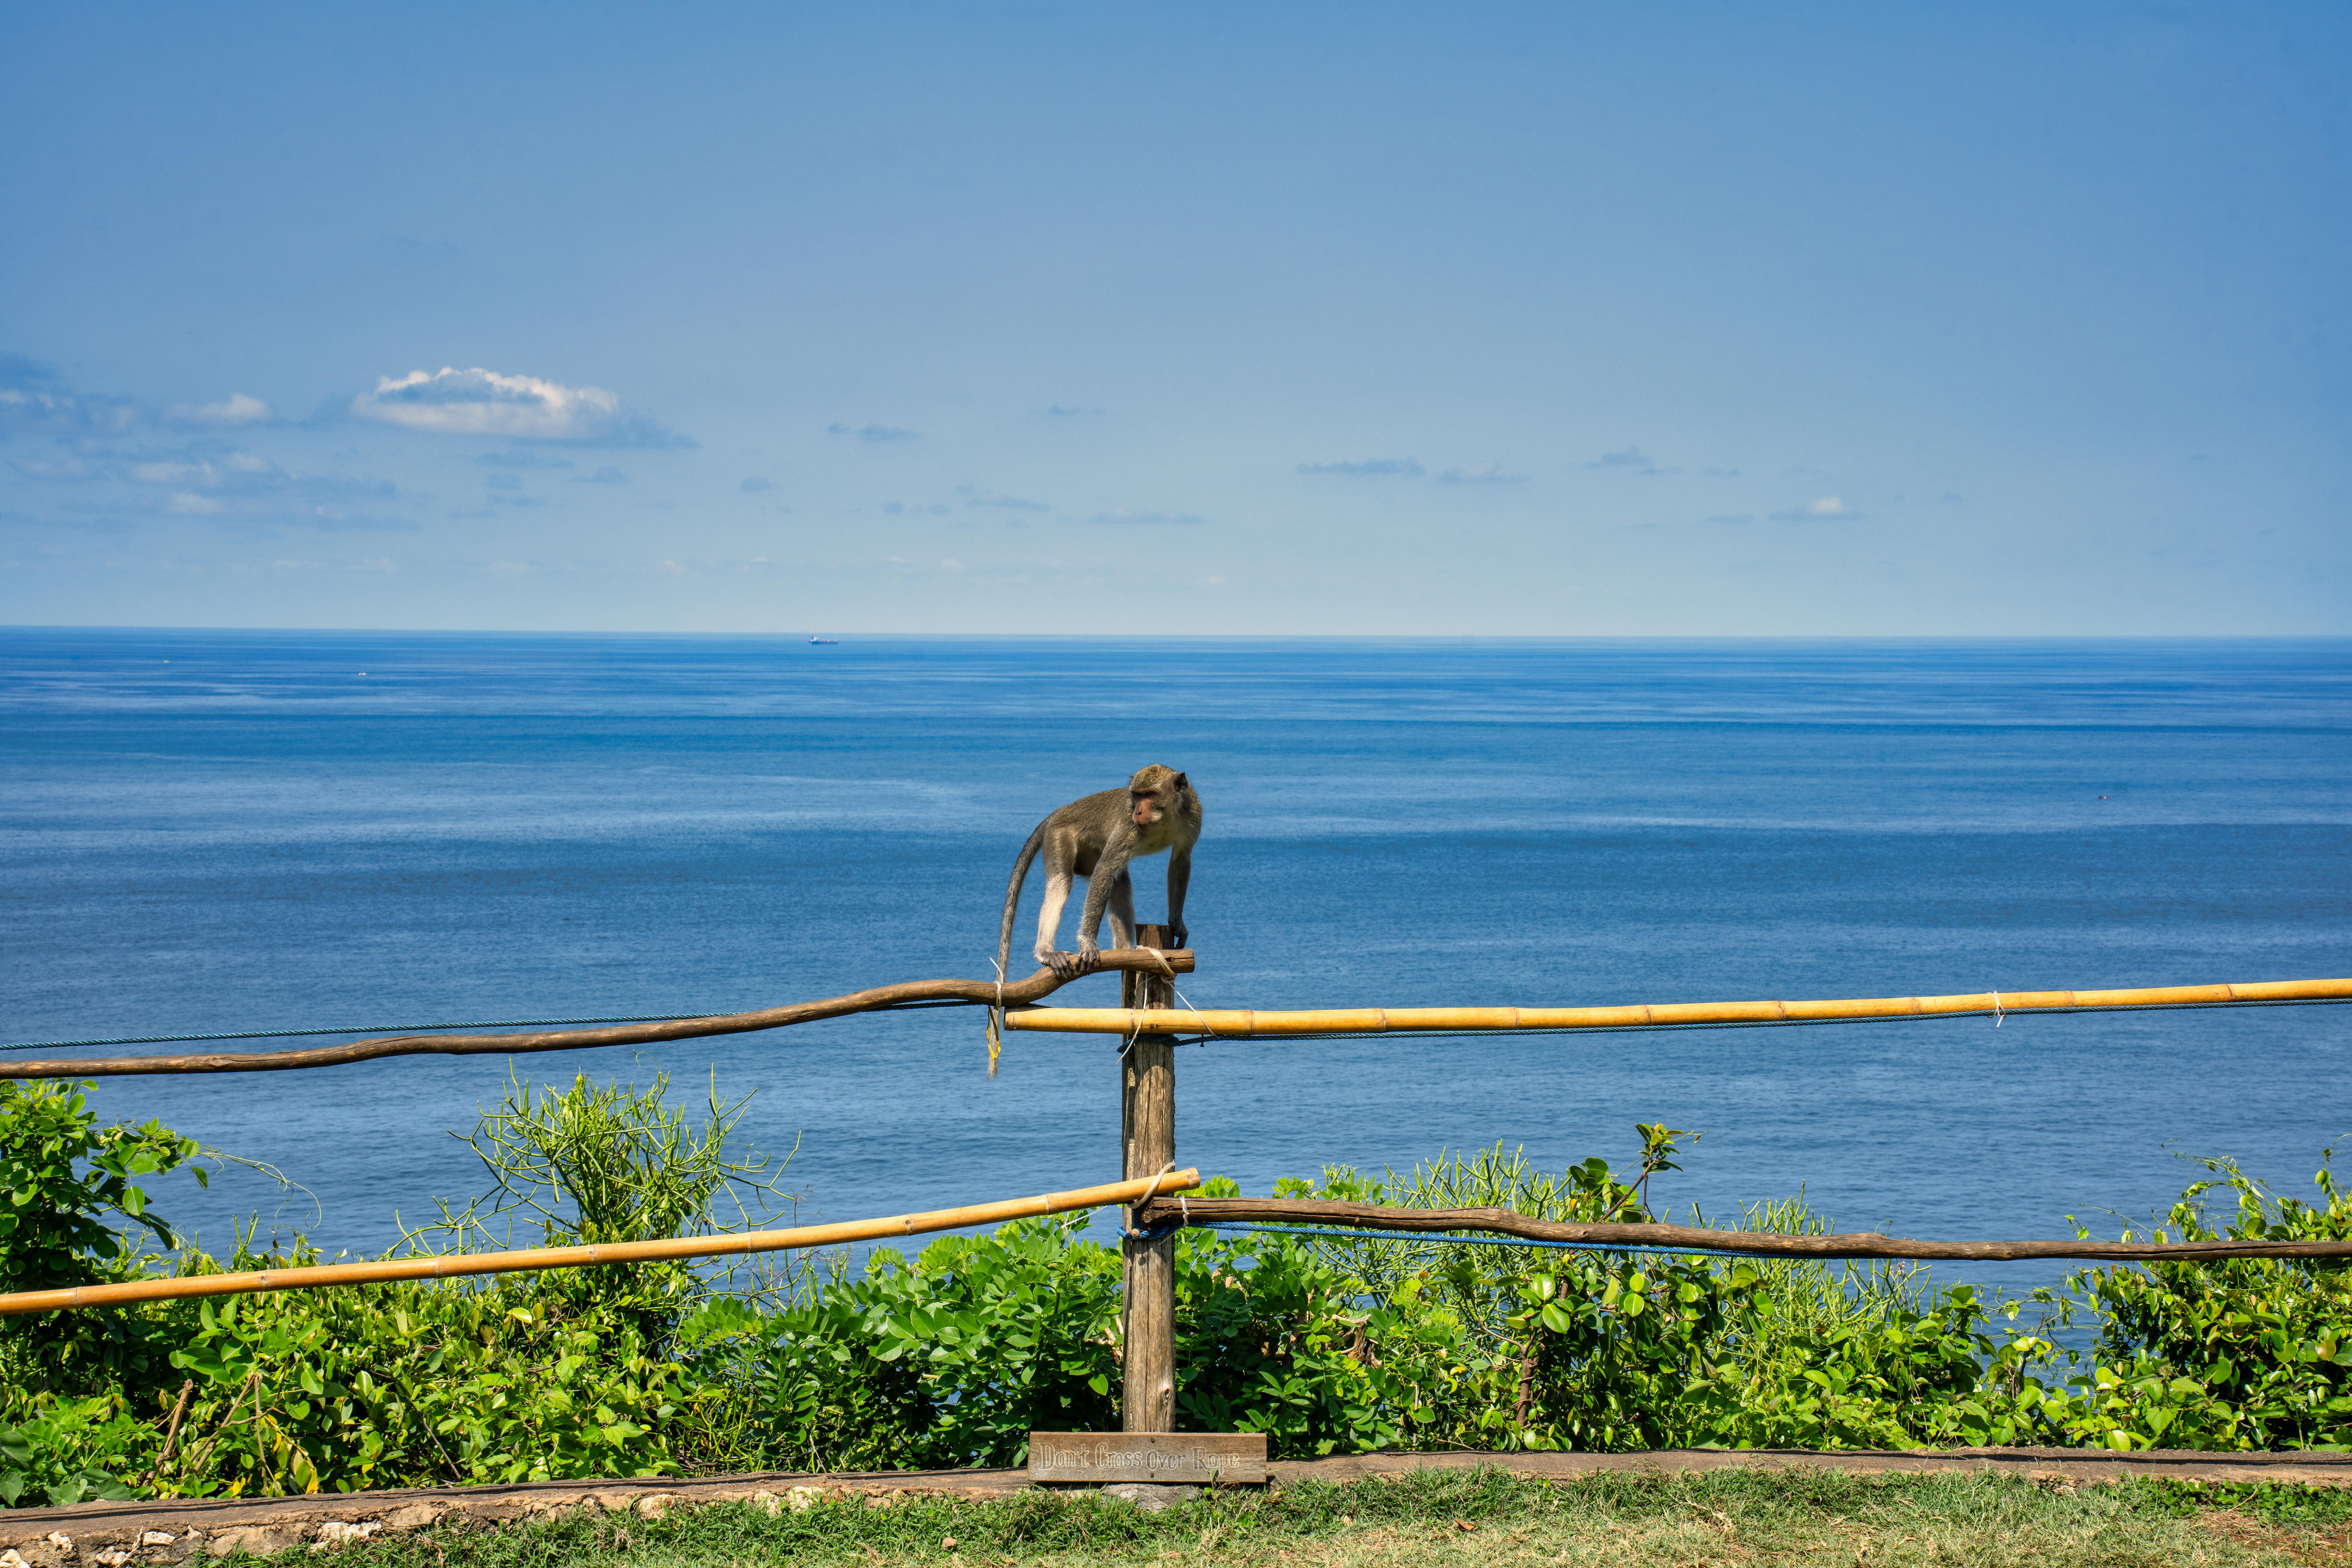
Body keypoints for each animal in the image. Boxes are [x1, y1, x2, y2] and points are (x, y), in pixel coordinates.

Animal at [995, 765, 1202, 992]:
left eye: (1150, 794)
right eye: (1137, 795)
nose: (1138, 811)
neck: (1164, 818)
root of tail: (1062, 810)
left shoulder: (1193, 815)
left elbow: (1180, 861)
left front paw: (1177, 922)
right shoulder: (1129, 826)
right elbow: (1105, 869)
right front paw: (1088, 944)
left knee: (1119, 881)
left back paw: (1126, 951)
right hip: (1059, 836)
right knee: (1062, 882)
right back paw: (1045, 952)